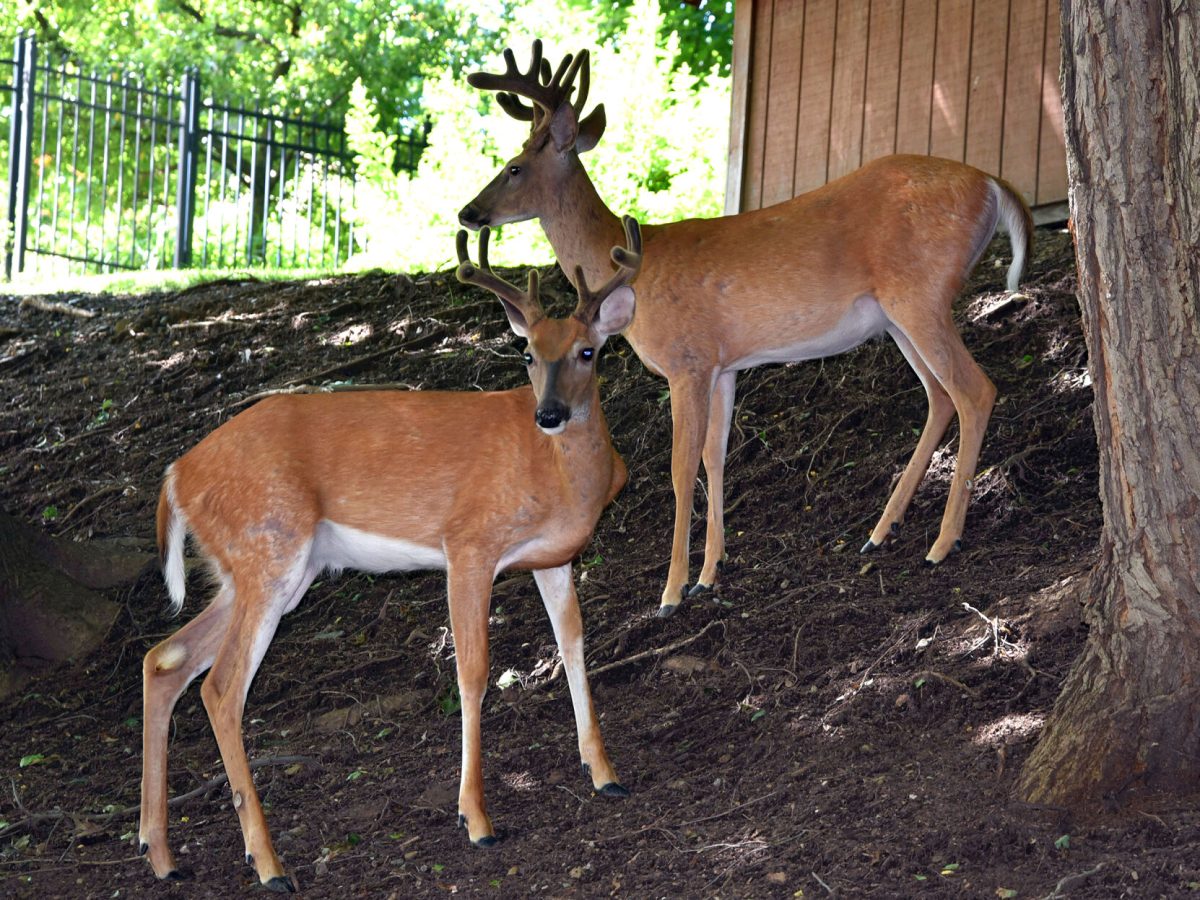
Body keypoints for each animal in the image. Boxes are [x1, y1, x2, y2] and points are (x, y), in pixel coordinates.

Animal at [137, 217, 644, 891]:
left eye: (589, 351)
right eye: (527, 354)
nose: (550, 413)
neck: (563, 478)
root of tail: (175, 475)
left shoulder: (553, 557)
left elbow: (574, 648)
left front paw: (606, 774)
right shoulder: (469, 542)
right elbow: (473, 670)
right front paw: (476, 818)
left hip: (262, 569)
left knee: (164, 659)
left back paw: (162, 854)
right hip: (268, 548)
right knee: (220, 688)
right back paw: (268, 864)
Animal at [459, 41, 1034, 617]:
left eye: (513, 167)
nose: (468, 212)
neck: (626, 267)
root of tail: (996, 183)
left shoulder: (686, 360)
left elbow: (681, 468)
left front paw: (671, 593)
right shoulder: (723, 365)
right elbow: (715, 458)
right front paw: (709, 575)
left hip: (921, 295)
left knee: (975, 390)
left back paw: (943, 541)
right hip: (898, 317)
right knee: (940, 396)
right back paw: (879, 532)